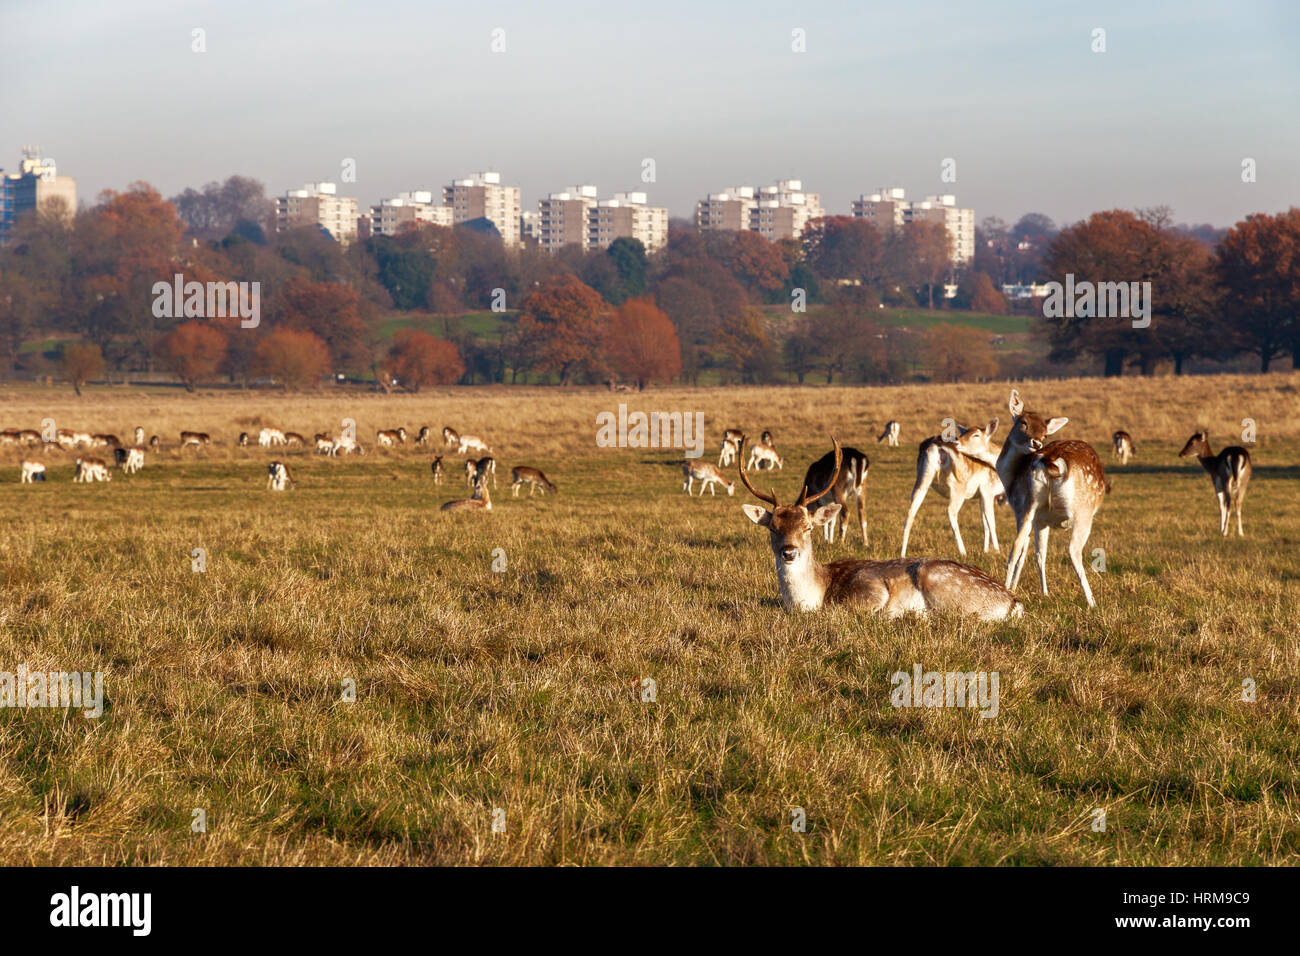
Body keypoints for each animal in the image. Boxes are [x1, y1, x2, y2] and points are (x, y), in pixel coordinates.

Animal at [737, 437, 1023, 621]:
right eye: (773, 528)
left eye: (807, 528)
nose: (789, 552)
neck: (813, 595)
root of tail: (1014, 602)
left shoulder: (870, 589)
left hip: (939, 582)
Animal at [900, 421, 1005, 558]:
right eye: (965, 433)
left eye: (976, 434)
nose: (958, 442)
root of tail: (935, 446)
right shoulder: (988, 490)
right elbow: (991, 522)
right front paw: (997, 551)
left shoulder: (980, 496)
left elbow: (984, 522)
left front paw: (985, 550)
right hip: (958, 485)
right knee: (951, 511)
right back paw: (963, 552)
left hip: (922, 479)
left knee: (910, 512)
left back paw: (902, 554)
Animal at [953, 390, 1109, 608]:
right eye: (1023, 423)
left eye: (1045, 433)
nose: (1037, 442)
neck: (1009, 476)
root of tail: (1052, 462)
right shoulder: (1025, 512)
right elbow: (1032, 553)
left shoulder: (1037, 518)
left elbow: (1038, 554)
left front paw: (1043, 592)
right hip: (1081, 509)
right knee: (1072, 549)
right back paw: (1091, 602)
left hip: (1033, 504)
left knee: (1017, 546)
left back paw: (1008, 589)